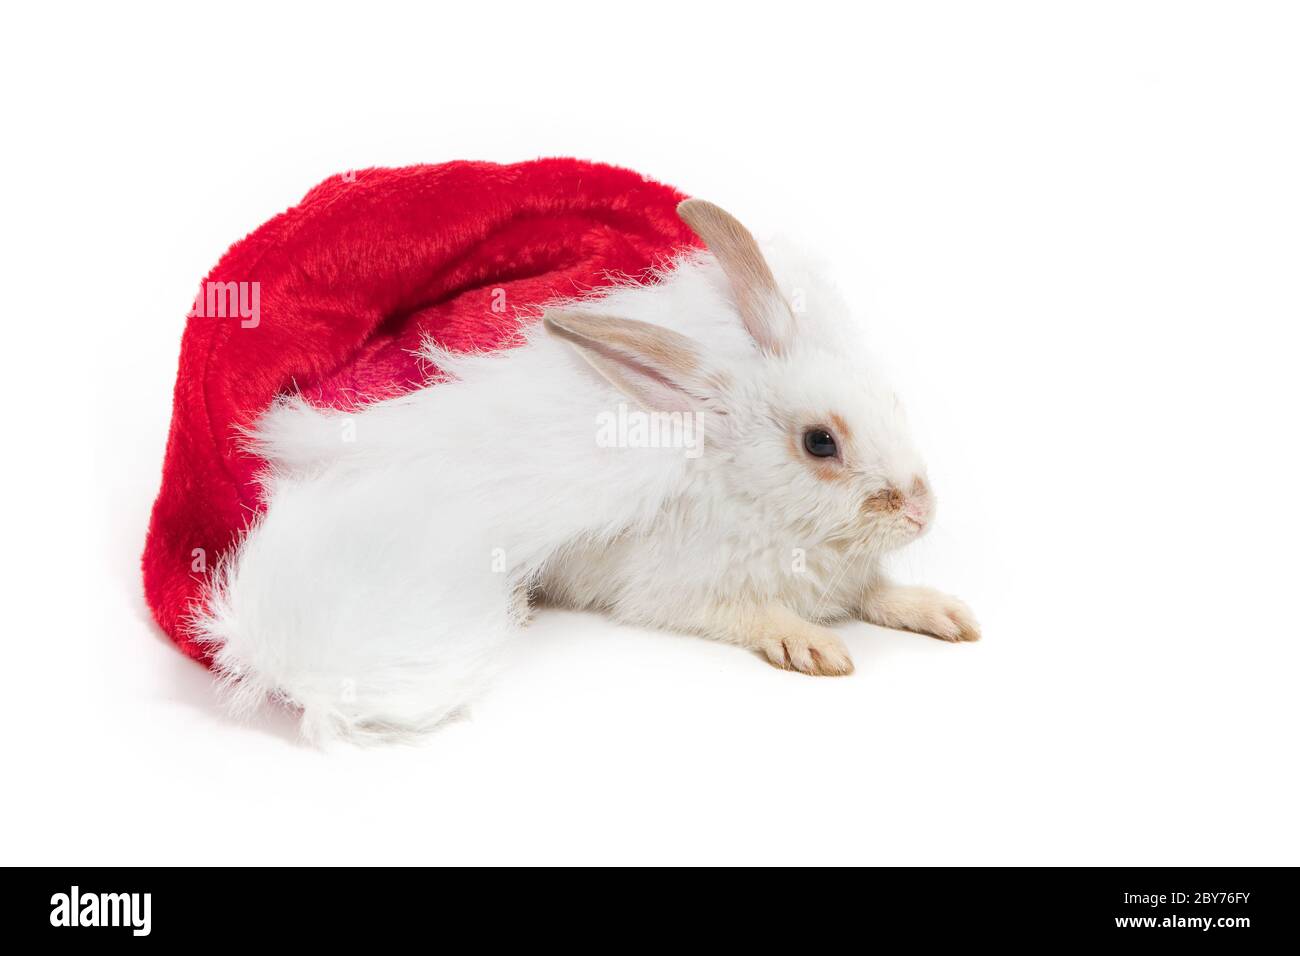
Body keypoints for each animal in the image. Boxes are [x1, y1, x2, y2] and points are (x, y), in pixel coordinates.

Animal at [192, 199, 978, 743]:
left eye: (890, 399)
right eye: (820, 443)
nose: (923, 510)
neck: (765, 510)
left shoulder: (854, 579)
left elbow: (881, 593)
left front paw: (943, 614)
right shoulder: (680, 594)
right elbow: (748, 614)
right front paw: (813, 646)